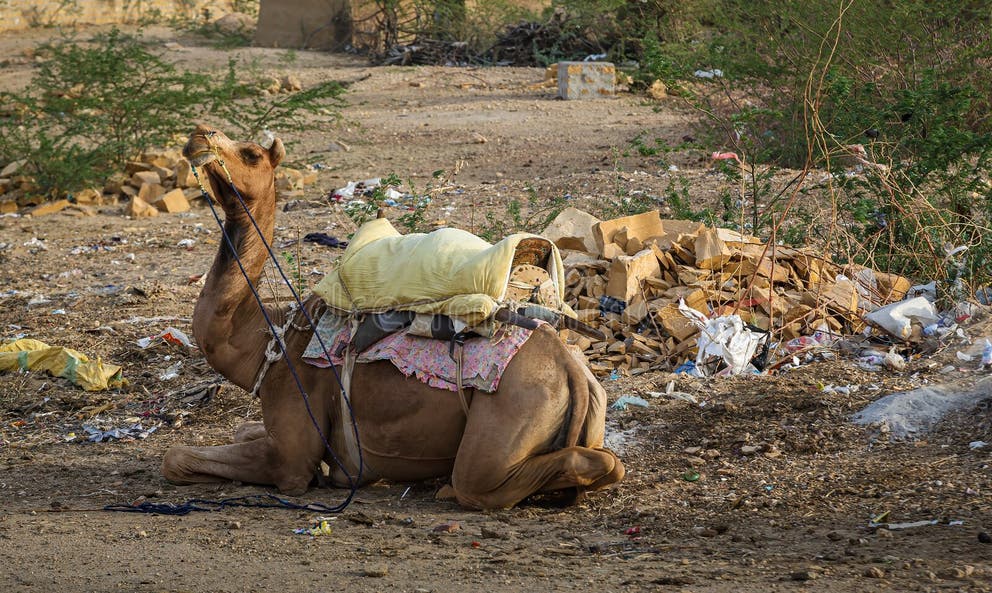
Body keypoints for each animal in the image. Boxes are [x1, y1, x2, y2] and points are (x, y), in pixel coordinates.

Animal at [162, 125, 624, 509]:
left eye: (251, 154)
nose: (200, 133)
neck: (268, 344)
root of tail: (572, 372)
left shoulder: (291, 458)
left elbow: (176, 456)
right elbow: (239, 431)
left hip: (511, 413)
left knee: (498, 477)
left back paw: (448, 487)